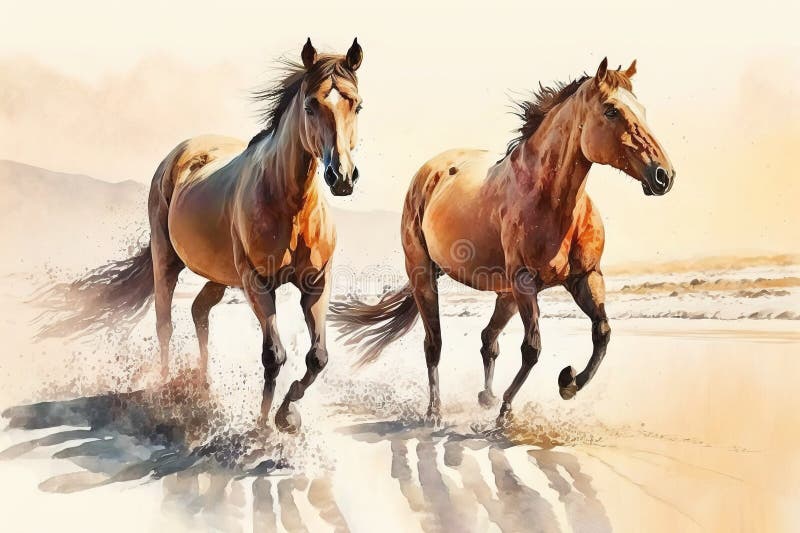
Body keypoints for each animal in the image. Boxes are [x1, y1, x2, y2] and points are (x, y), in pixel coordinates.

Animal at [36, 38, 365, 433]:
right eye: (310, 105)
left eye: (357, 105)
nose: (341, 176)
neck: (292, 204)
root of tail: (179, 154)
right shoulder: (257, 284)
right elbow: (273, 355)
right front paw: (264, 425)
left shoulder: (316, 284)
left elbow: (317, 357)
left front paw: (287, 416)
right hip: (167, 261)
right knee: (165, 323)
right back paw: (166, 393)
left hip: (219, 276)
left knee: (198, 310)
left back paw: (203, 387)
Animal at [330, 58, 675, 425]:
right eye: (611, 110)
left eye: (641, 108)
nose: (664, 175)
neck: (551, 200)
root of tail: (429, 171)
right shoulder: (525, 282)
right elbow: (532, 348)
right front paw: (507, 410)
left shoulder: (586, 277)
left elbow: (602, 333)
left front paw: (567, 383)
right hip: (424, 273)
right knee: (434, 343)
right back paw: (435, 412)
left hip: (504, 293)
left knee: (488, 340)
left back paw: (486, 395)